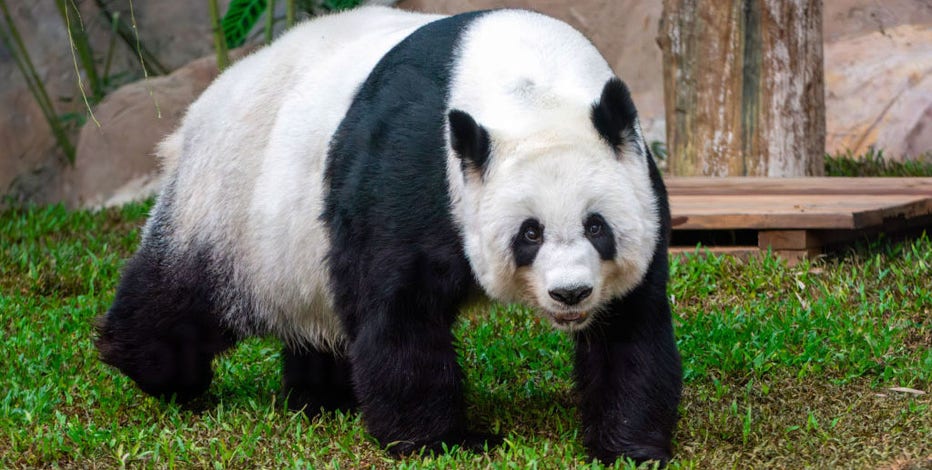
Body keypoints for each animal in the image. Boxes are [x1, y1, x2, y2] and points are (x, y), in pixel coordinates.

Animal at [95, 6, 682, 465]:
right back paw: (156, 370)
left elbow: (631, 324)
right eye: (529, 233)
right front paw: (440, 442)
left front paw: (630, 446)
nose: (571, 294)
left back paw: (323, 397)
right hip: (229, 202)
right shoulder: (412, 165)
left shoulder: (640, 184)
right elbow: (399, 308)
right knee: (180, 294)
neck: (529, 87)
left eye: (596, 226)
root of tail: (201, 106)